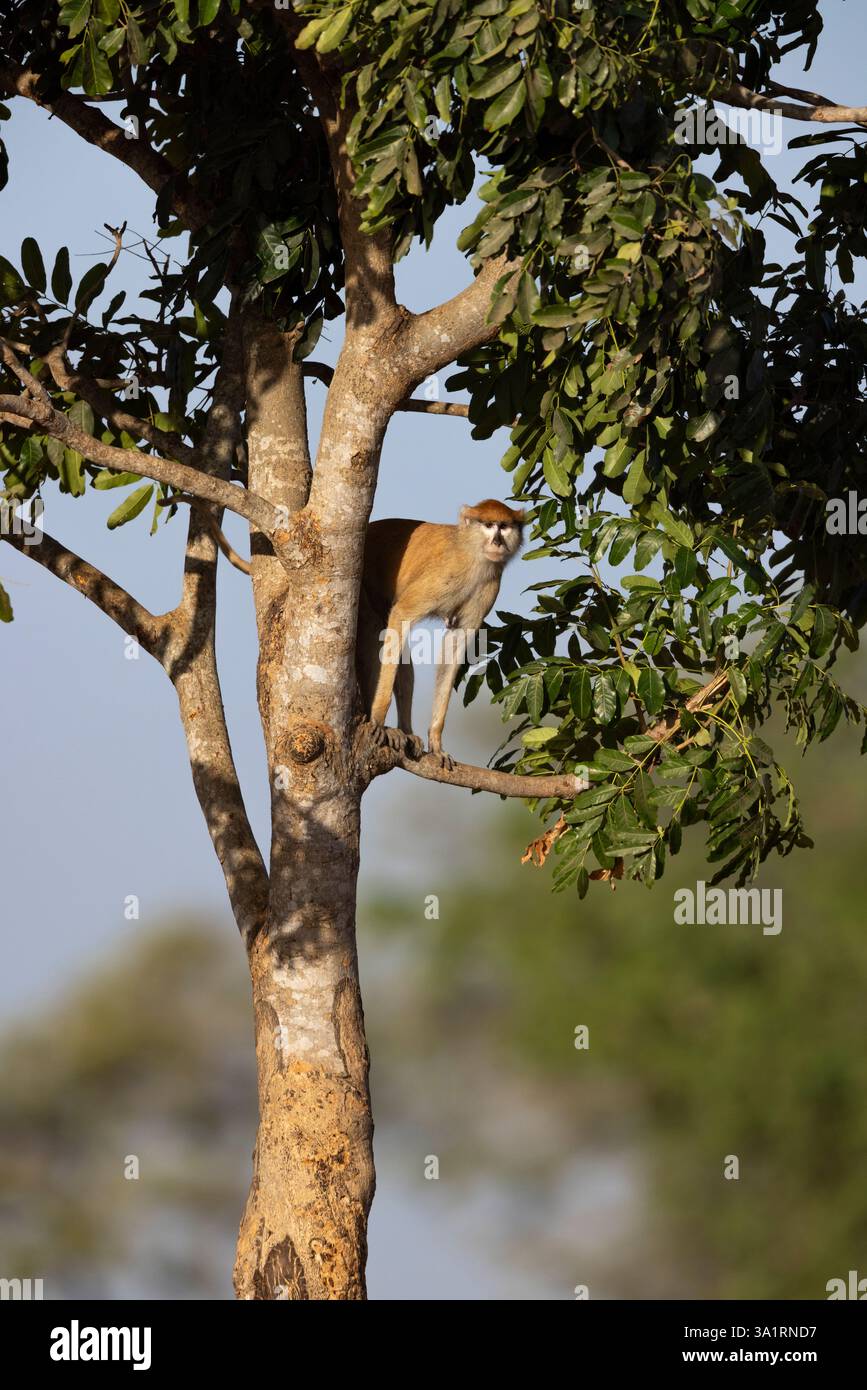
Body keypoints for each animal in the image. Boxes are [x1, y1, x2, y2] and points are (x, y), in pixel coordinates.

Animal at [358, 499, 525, 767]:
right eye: (489, 525)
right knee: (374, 635)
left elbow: (454, 646)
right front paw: (377, 721)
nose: (498, 542)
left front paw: (436, 743)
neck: (470, 550)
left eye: (505, 526)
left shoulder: (488, 589)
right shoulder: (445, 574)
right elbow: (402, 613)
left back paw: (405, 730)